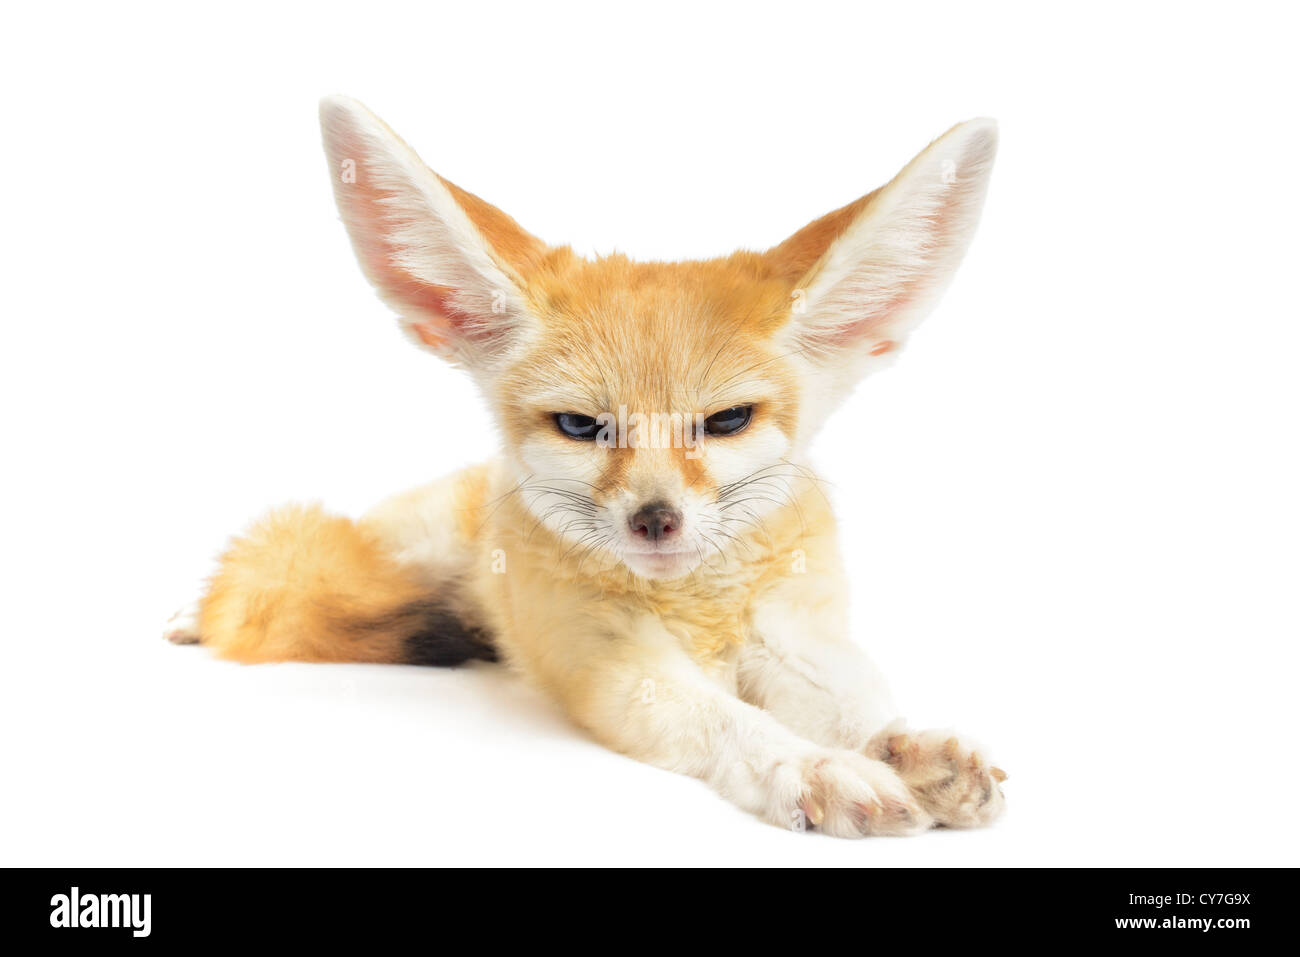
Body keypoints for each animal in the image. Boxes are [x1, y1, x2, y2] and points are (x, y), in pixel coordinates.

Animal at [165, 96, 1006, 837]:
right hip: (398, 553)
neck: (699, 612)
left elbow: (858, 702)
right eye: (581, 426)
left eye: (726, 421)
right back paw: (197, 616)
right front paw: (812, 766)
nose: (656, 520)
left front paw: (908, 747)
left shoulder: (798, 634)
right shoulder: (612, 662)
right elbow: (727, 720)